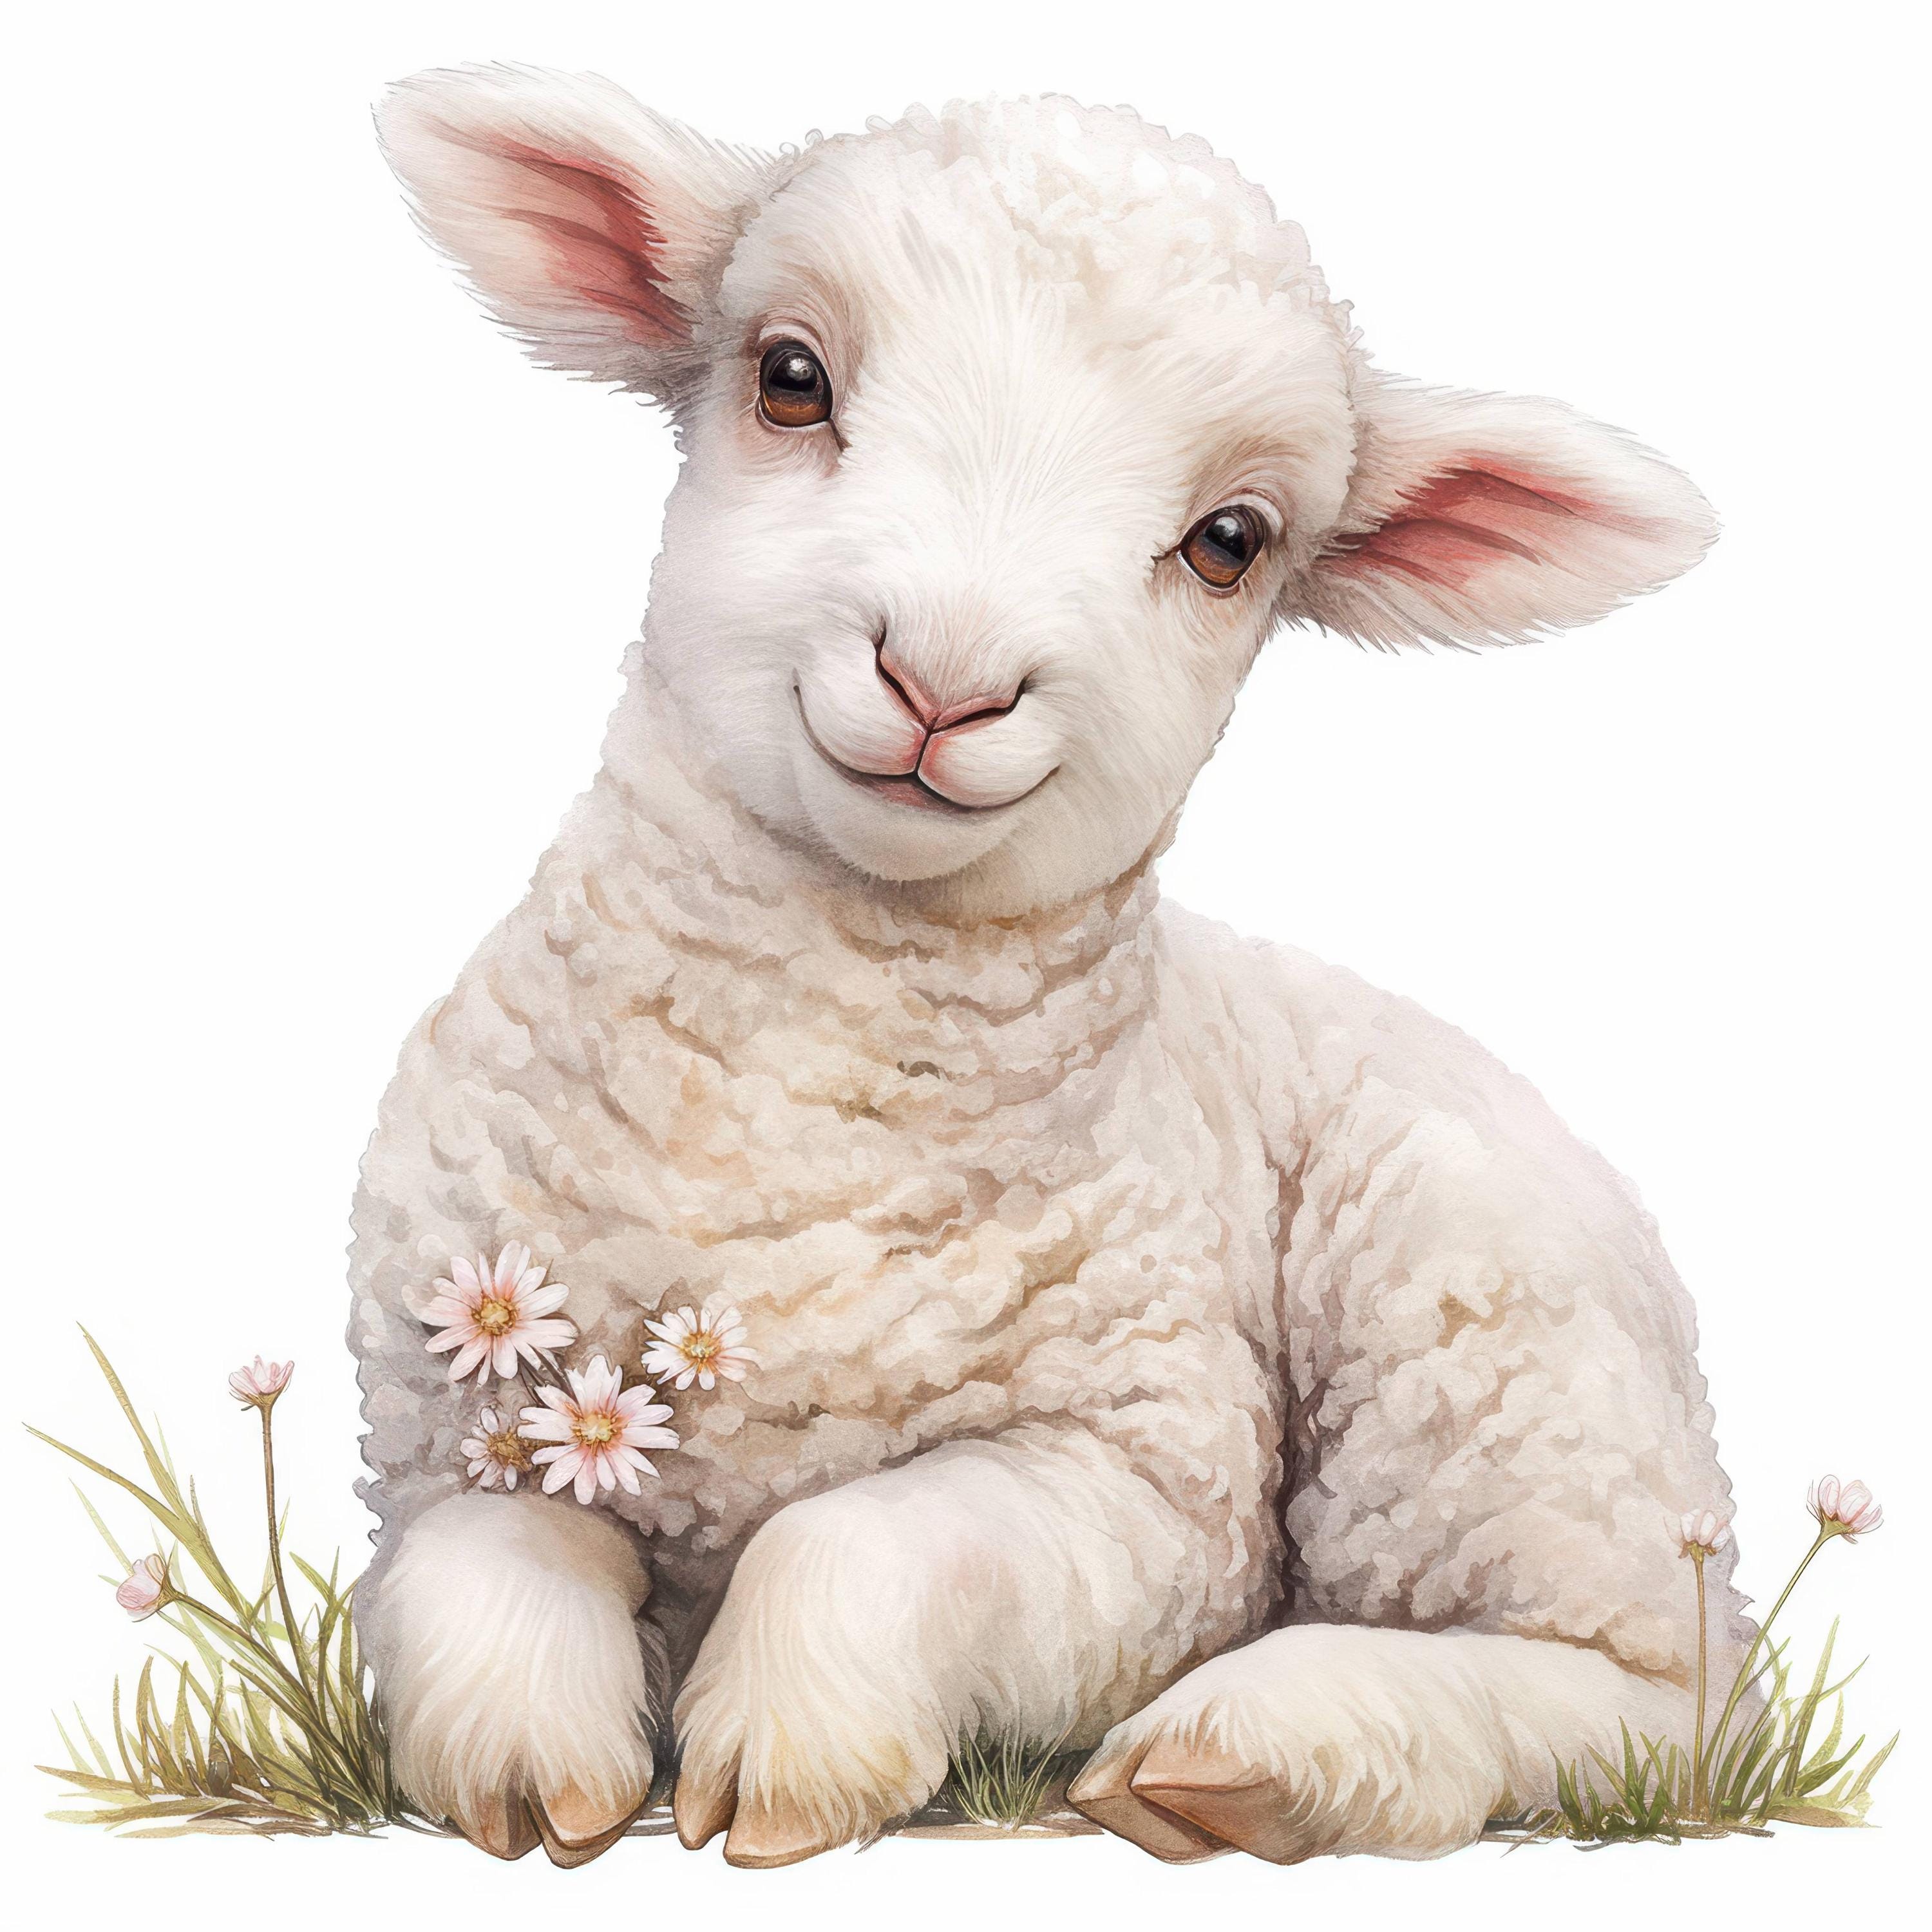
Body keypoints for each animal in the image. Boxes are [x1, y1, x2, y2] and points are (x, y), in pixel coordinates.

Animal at [349, 63, 1742, 1869]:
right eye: (787, 377)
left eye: (1229, 540)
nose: (943, 678)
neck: (777, 1127)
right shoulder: (450, 1427)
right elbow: (477, 1575)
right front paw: (534, 1768)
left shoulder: (1152, 1485)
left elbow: (866, 1544)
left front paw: (782, 1757)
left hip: (1493, 1345)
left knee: (1653, 1695)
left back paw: (1262, 1747)